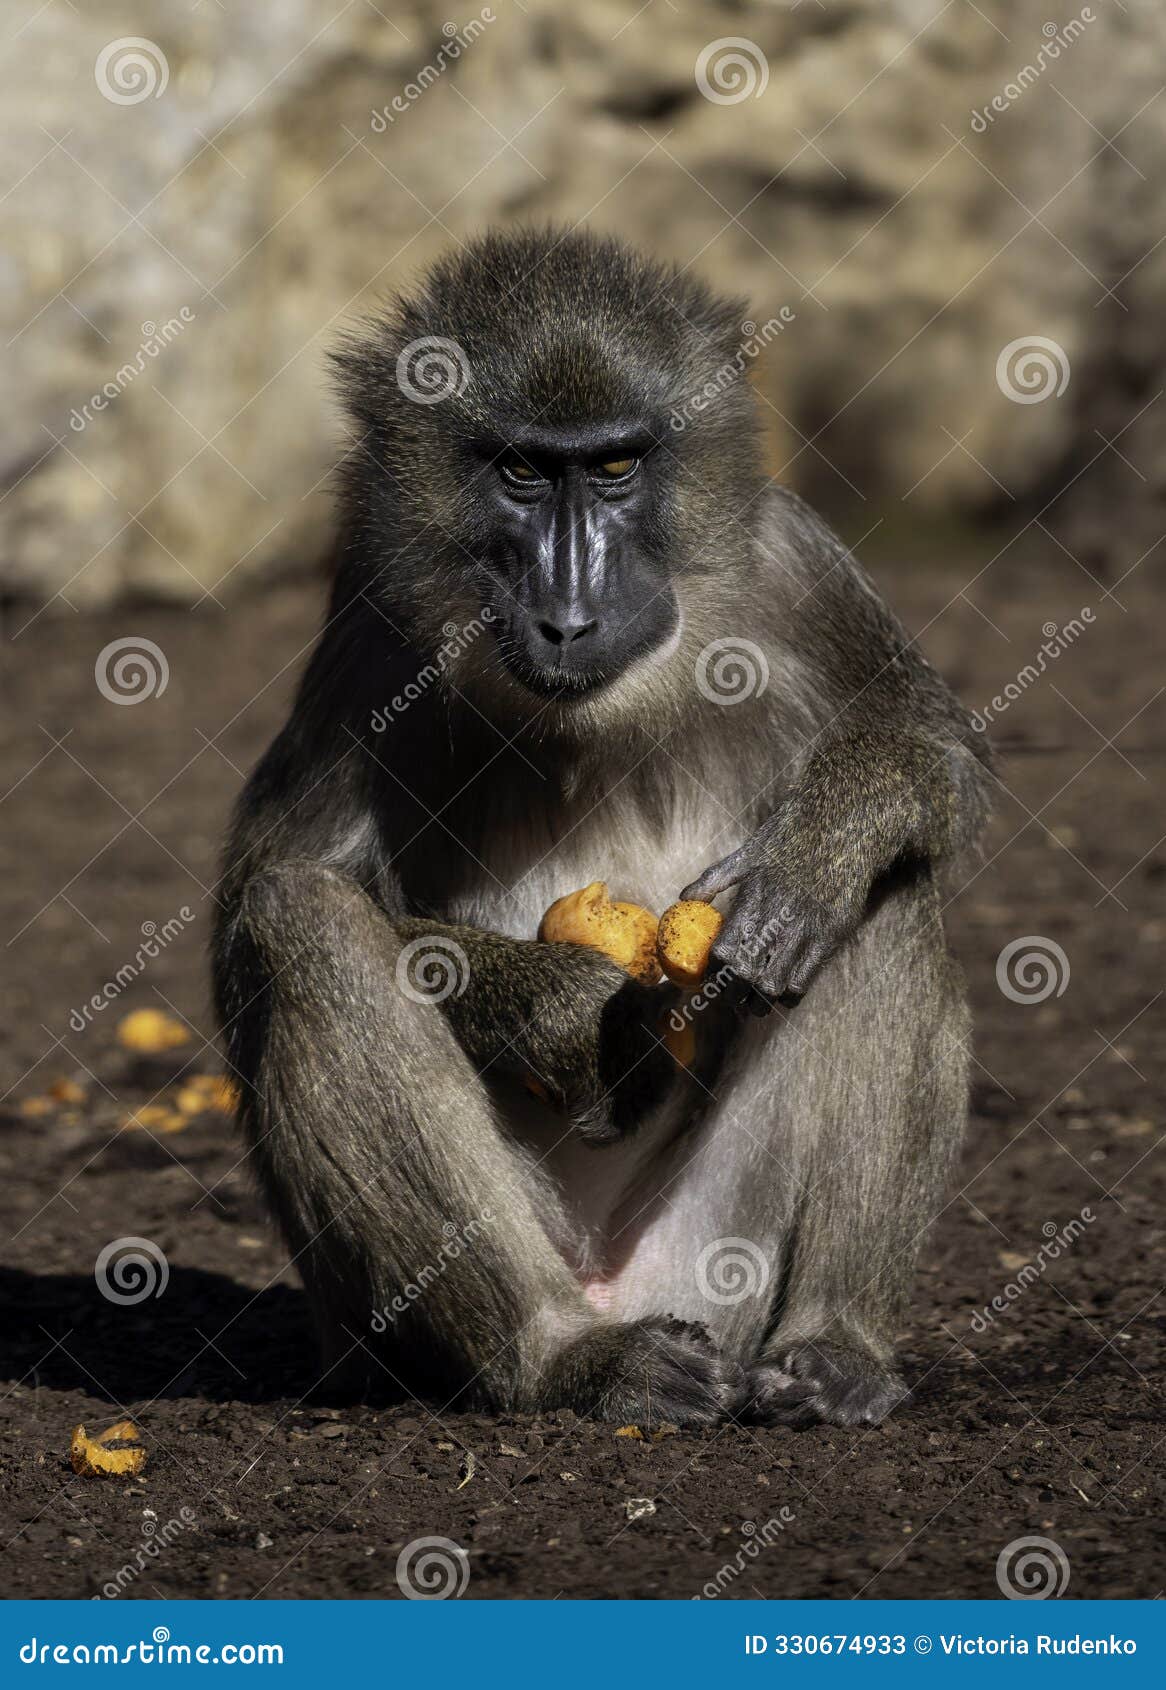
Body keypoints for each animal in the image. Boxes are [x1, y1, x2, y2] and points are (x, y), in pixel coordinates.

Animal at [212, 226, 993, 1430]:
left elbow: (927, 753)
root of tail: (613, 1285)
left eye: (618, 466)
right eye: (523, 471)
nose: (569, 614)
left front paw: (813, 854)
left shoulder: (795, 565)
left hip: (715, 1271)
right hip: (406, 1330)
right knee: (298, 920)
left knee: (889, 901)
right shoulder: (370, 624)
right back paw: (566, 1357)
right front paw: (561, 1006)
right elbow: (265, 892)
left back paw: (833, 1348)